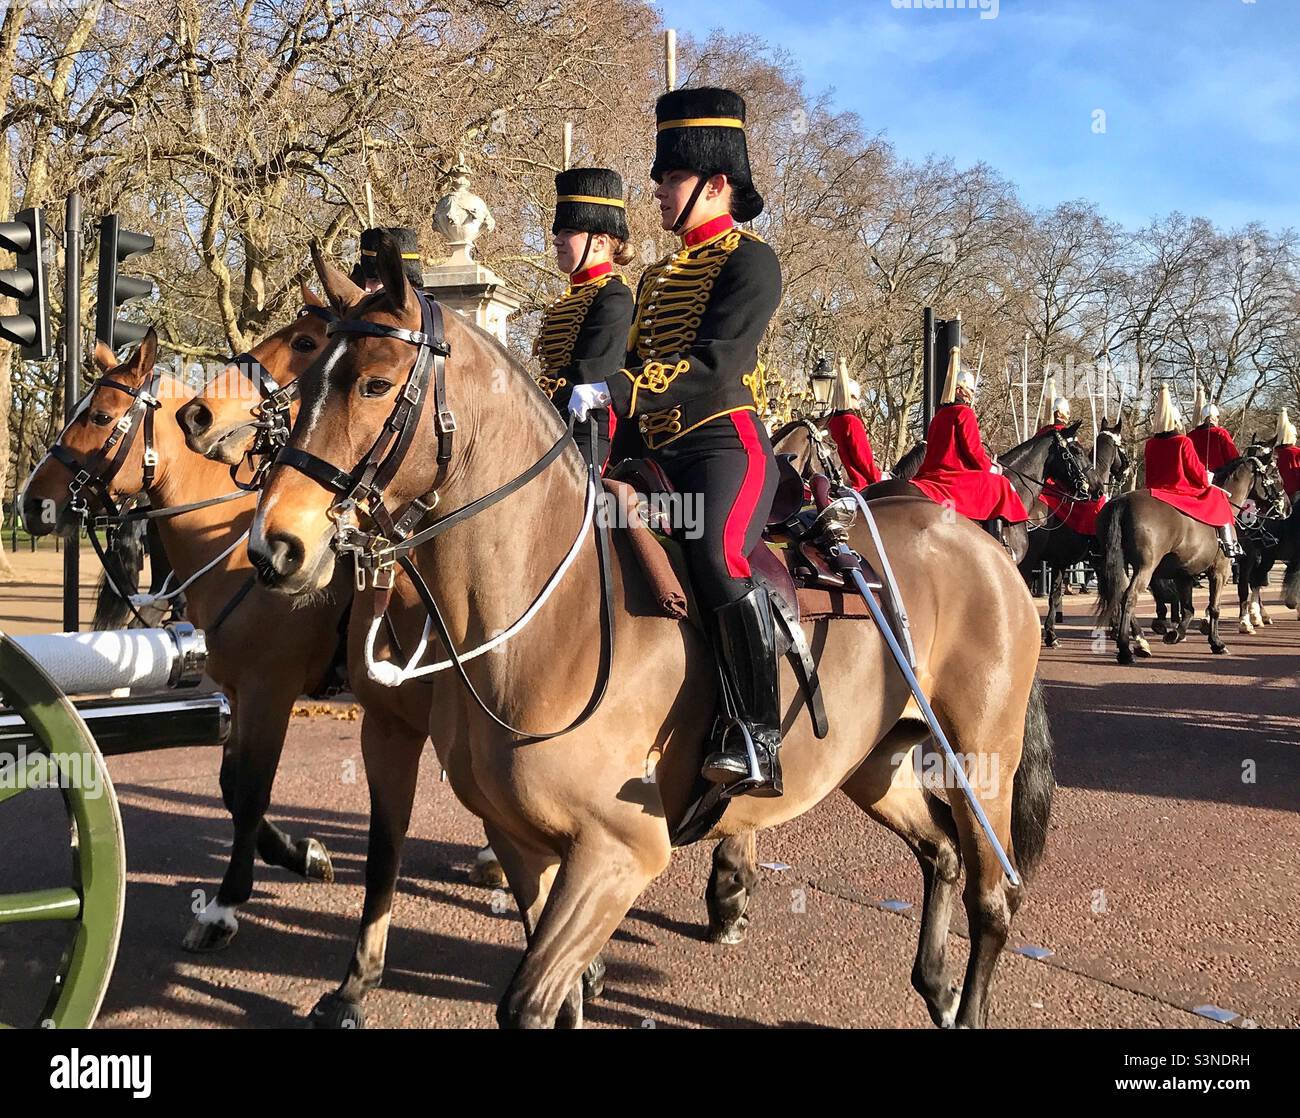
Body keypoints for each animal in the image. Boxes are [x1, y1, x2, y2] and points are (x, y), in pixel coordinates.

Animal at [20, 308, 348, 954]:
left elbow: (250, 791)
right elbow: (230, 784)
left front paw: (224, 905)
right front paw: (300, 852)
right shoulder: (241, 692)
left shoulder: (271, 690)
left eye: (99, 416)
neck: (235, 548)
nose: (29, 504)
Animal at [247, 236, 1054, 1030]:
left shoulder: (619, 852)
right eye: (312, 373)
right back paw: (934, 983)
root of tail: (976, 540)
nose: (274, 546)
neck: (543, 616)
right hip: (874, 762)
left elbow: (526, 1001)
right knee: (941, 853)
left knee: (994, 896)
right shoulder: (522, 841)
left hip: (983, 757)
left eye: (375, 385)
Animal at [1019, 416, 1131, 647]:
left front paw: (1051, 634)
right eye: (1122, 443)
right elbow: (1111, 589)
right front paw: (1116, 627)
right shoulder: (1099, 559)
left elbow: (1055, 596)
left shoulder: (1059, 562)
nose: (1127, 469)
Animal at [1094, 454, 1281, 664]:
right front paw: (1217, 643)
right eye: (1274, 473)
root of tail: (1122, 501)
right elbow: (1214, 607)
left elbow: (1188, 608)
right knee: (1130, 597)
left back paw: (1141, 643)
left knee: (1120, 593)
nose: (1285, 506)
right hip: (1145, 567)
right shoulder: (1220, 571)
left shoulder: (1183, 574)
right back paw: (1126, 650)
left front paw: (1176, 634)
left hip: (1118, 565)